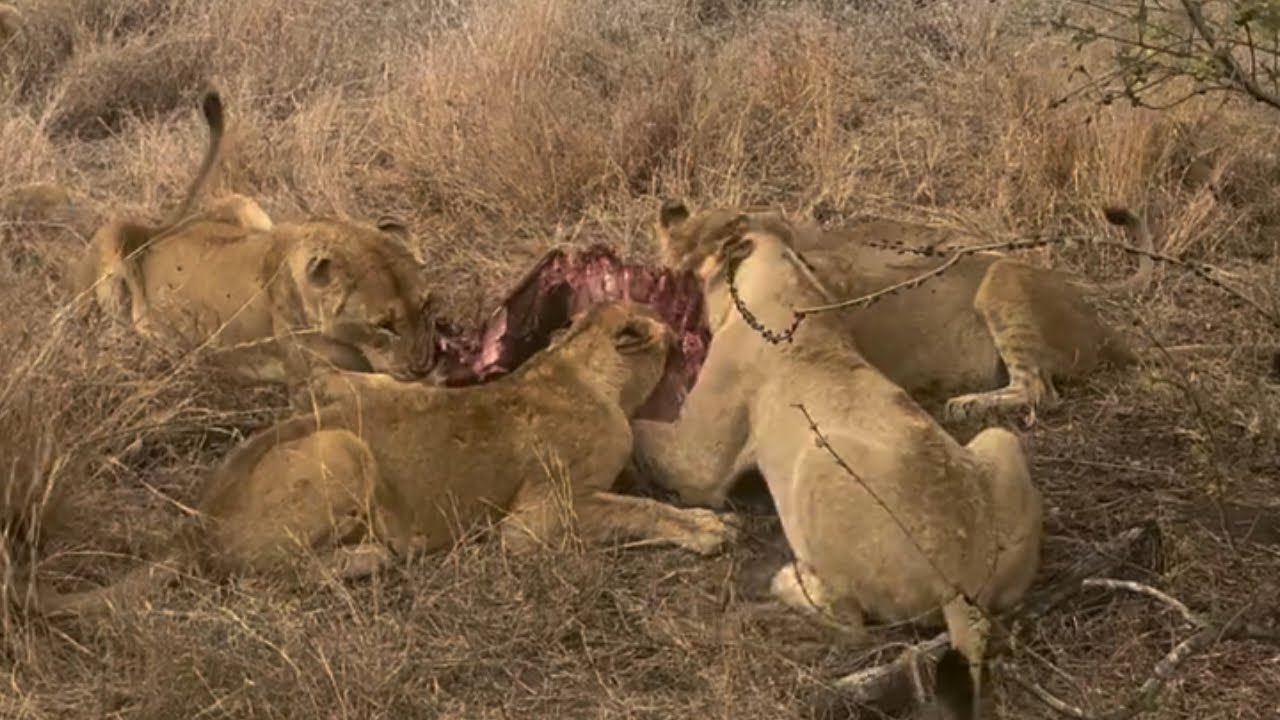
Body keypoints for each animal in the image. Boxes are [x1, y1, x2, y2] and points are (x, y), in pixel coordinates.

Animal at [37, 300, 740, 618]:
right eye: (669, 332)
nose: (693, 339)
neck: (580, 369)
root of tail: (194, 524)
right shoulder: (533, 522)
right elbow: (633, 509)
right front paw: (706, 529)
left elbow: (637, 495)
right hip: (342, 448)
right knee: (263, 581)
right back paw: (371, 555)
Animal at [70, 89, 439, 385]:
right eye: (383, 325)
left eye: (425, 305)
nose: (423, 366)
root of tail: (158, 231)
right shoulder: (314, 378)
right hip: (111, 240)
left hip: (241, 202)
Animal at [630, 218, 1044, 718]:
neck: (790, 283)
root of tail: (966, 588)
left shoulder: (698, 458)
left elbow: (644, 435)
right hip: (1000, 441)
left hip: (817, 463)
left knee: (850, 623)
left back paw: (788, 582)